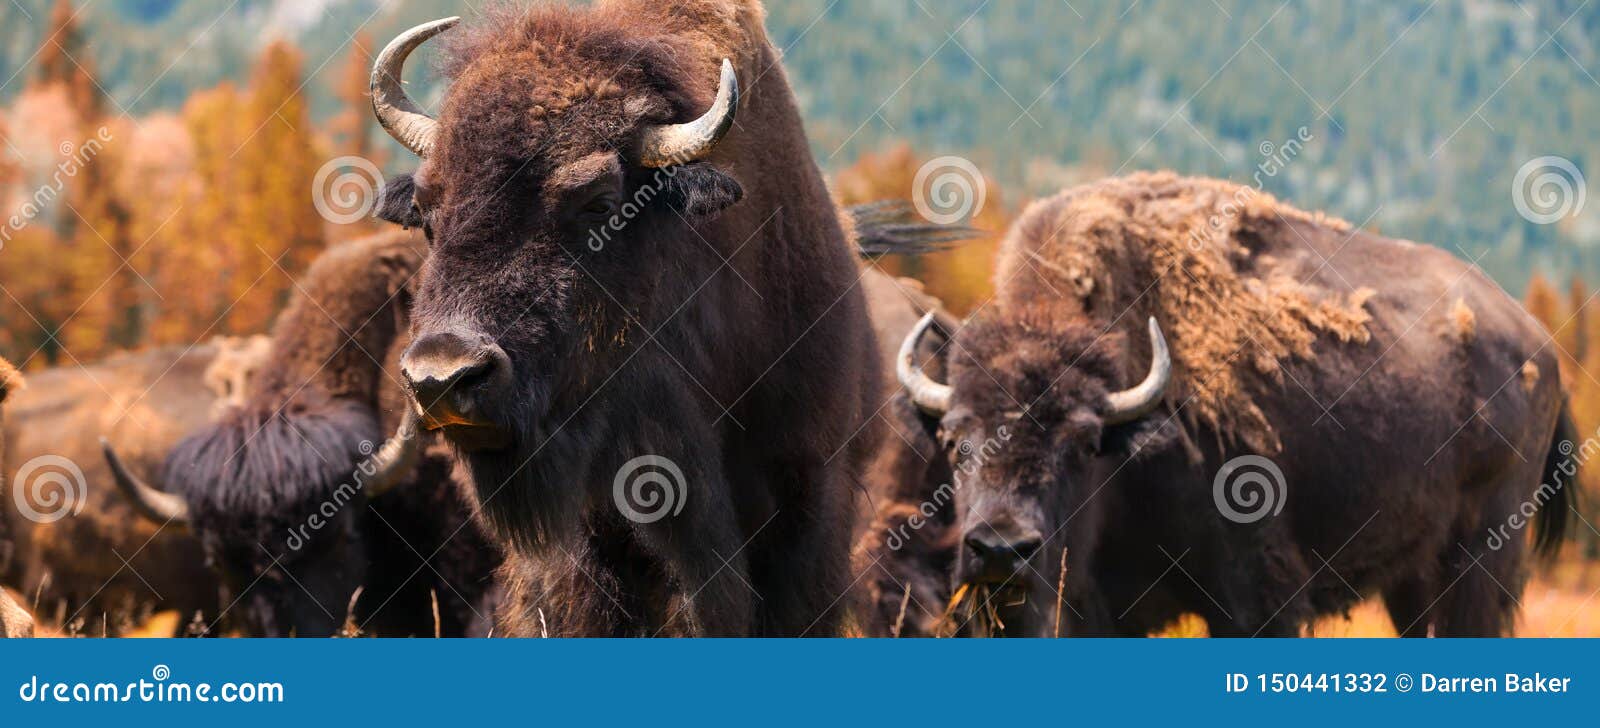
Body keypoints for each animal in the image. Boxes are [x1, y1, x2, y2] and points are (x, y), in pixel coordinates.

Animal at [898, 172, 1572, 637]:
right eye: (954, 439)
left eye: (1085, 444)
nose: (1000, 550)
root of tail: (1537, 343)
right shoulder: (1094, 607)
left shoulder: (1254, 598)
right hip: (1413, 579)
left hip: (1480, 561)